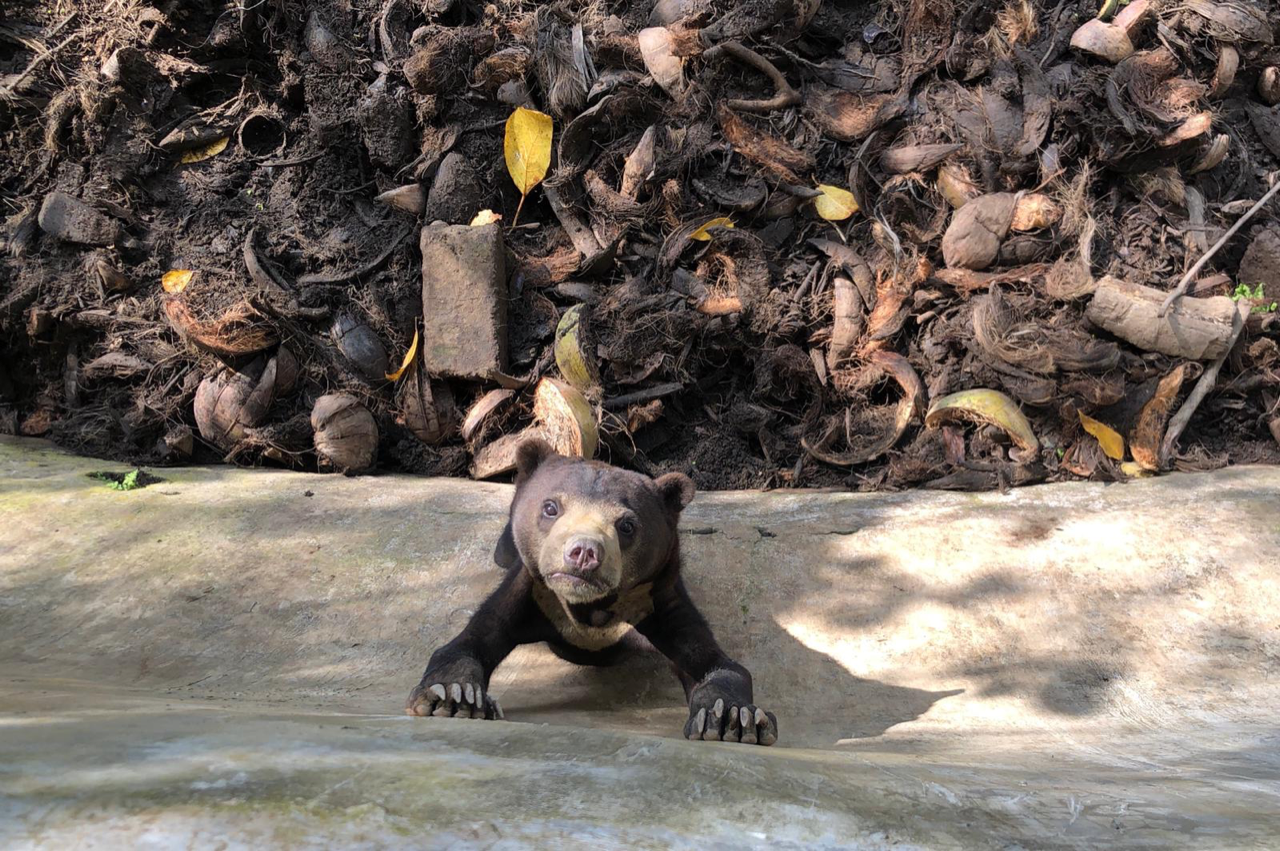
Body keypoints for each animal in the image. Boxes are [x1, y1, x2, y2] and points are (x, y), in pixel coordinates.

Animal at [405, 437, 778, 745]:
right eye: (551, 507)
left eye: (626, 525)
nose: (584, 552)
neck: (589, 607)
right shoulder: (532, 592)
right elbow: (467, 643)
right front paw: (454, 697)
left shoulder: (655, 599)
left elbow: (712, 661)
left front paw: (732, 717)